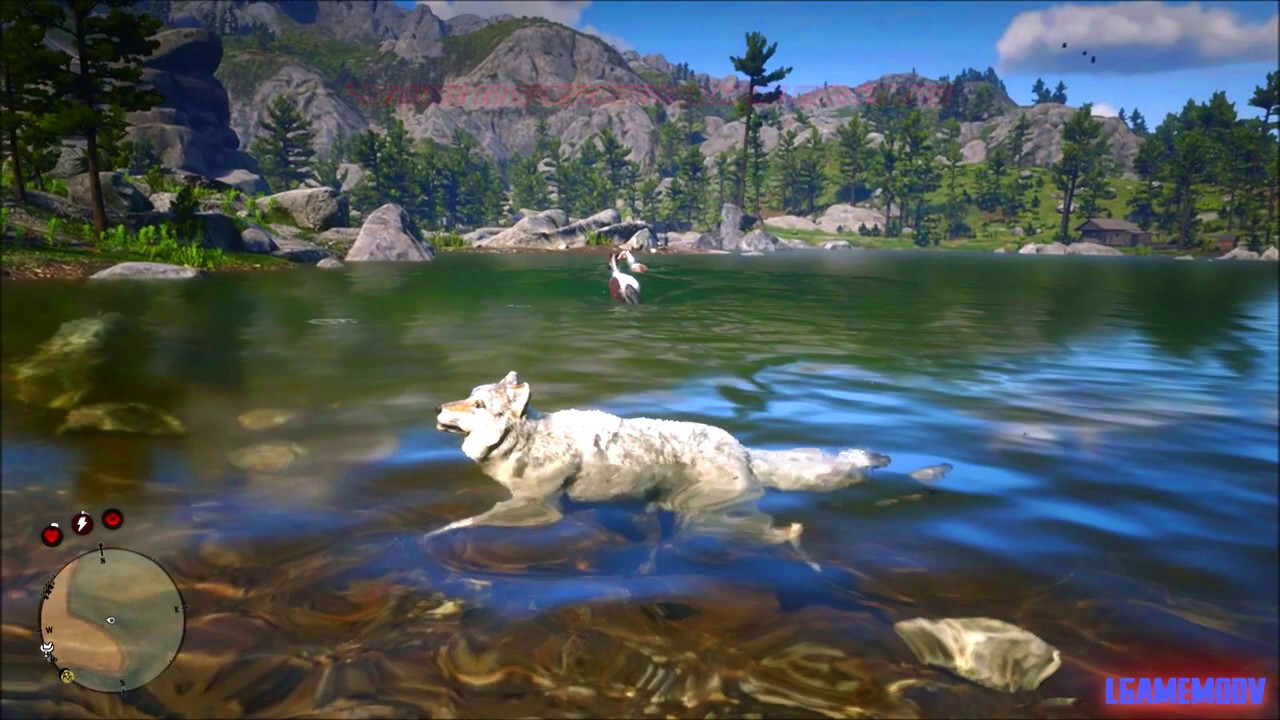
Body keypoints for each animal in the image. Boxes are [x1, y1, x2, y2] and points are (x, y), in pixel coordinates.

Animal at [430, 371, 893, 571]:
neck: (527, 438)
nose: (437, 406)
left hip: (703, 518)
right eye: (468, 395)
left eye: (477, 404)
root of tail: (744, 450)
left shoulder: (540, 509)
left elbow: (466, 522)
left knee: (785, 532)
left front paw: (432, 535)